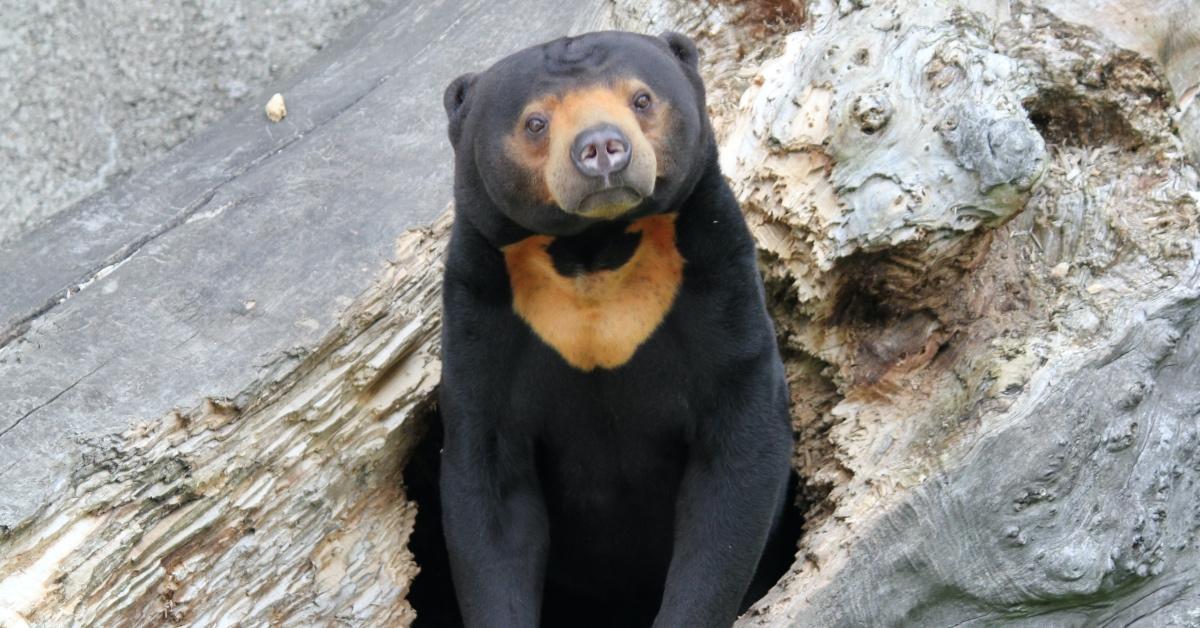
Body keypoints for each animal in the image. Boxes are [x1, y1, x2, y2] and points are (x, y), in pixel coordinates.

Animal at [439, 31, 794, 628]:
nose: (603, 147)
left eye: (642, 99)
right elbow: (488, 494)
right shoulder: (482, 314)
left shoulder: (714, 278)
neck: (593, 251)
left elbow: (737, 455)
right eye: (536, 122)